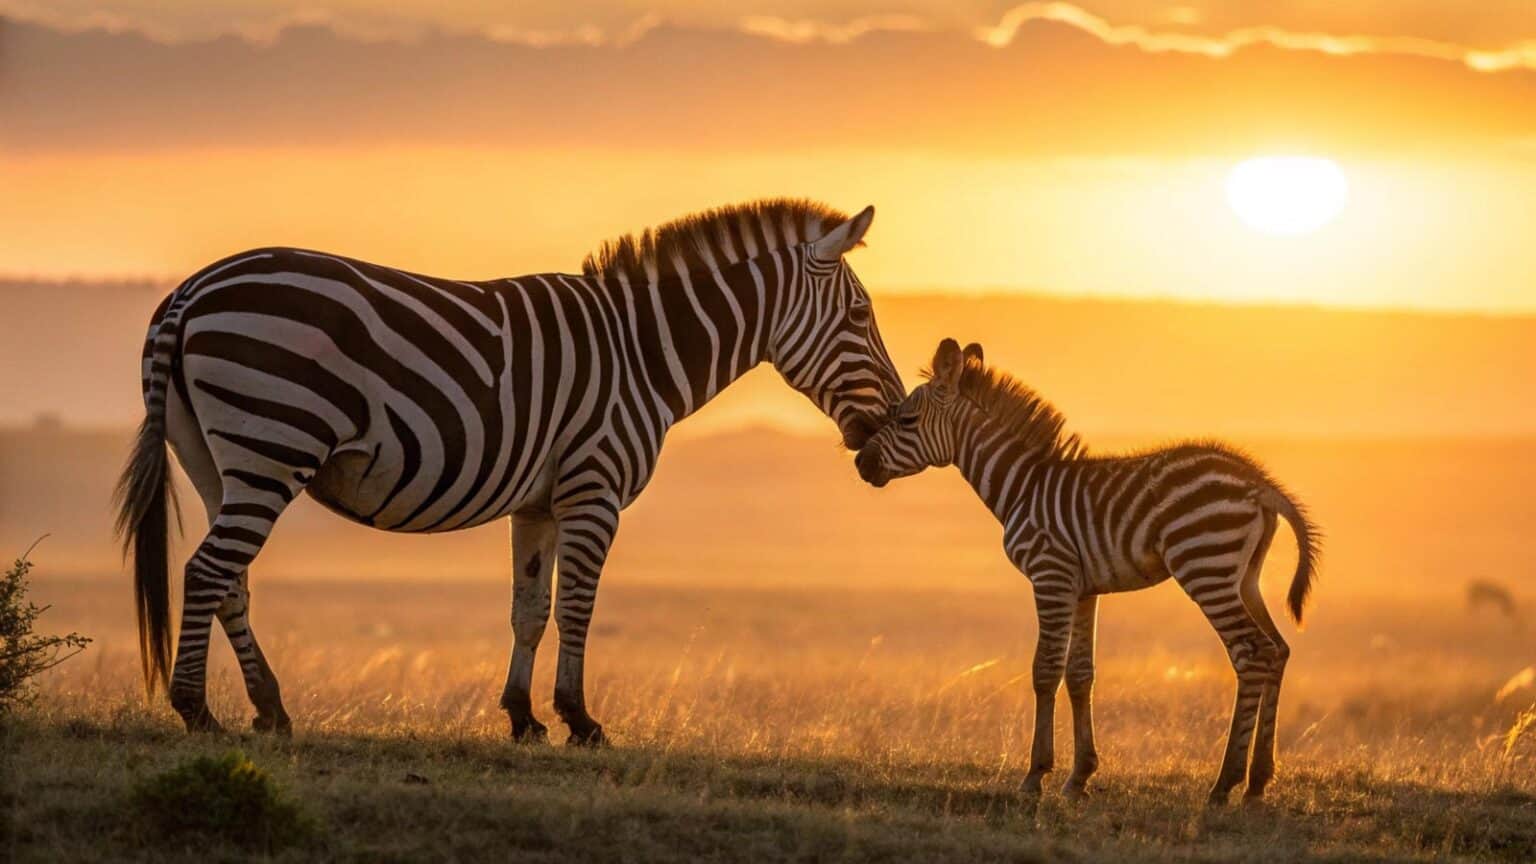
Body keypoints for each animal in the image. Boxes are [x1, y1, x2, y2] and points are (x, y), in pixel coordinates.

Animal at [115, 198, 905, 743]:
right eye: (861, 316)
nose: (887, 429)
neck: (643, 351)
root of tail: (188, 292)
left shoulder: (541, 502)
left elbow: (530, 609)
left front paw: (523, 717)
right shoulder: (594, 487)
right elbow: (579, 606)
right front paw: (580, 719)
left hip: (215, 458)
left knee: (230, 579)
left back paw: (271, 709)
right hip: (273, 442)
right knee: (209, 570)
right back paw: (197, 711)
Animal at [853, 338, 1319, 805]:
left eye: (906, 419)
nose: (861, 464)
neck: (1023, 485)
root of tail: (1258, 484)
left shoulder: (1051, 576)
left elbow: (1044, 671)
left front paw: (1035, 775)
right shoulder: (1082, 589)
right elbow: (1080, 675)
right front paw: (1079, 776)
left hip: (1205, 568)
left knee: (1251, 654)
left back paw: (1225, 783)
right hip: (1243, 577)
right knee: (1277, 650)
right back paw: (1257, 782)